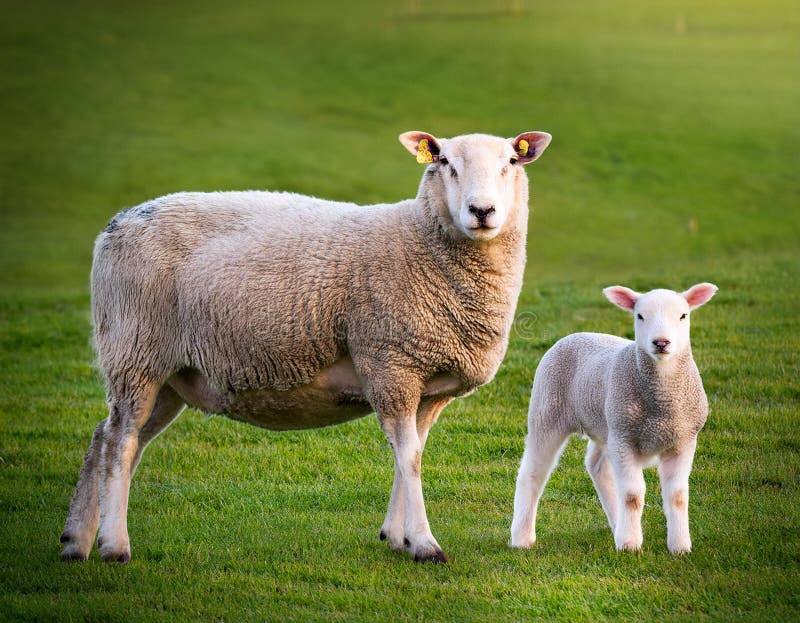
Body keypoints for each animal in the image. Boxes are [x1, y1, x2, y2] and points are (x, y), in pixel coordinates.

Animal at [60, 130, 553, 564]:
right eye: (445, 162)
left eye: (512, 162)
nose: (482, 210)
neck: (421, 245)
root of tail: (118, 222)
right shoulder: (389, 363)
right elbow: (410, 458)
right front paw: (424, 544)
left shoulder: (425, 386)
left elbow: (408, 455)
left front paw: (397, 538)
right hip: (135, 349)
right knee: (120, 443)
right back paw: (114, 545)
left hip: (167, 374)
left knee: (107, 437)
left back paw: (76, 541)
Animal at [510, 282, 718, 554]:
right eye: (640, 316)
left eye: (683, 316)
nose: (661, 342)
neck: (661, 405)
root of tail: (574, 334)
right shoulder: (625, 438)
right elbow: (632, 495)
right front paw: (630, 544)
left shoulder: (683, 440)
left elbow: (678, 496)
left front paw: (680, 546)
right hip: (548, 412)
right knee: (532, 473)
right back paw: (522, 538)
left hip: (606, 424)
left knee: (597, 466)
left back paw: (617, 524)